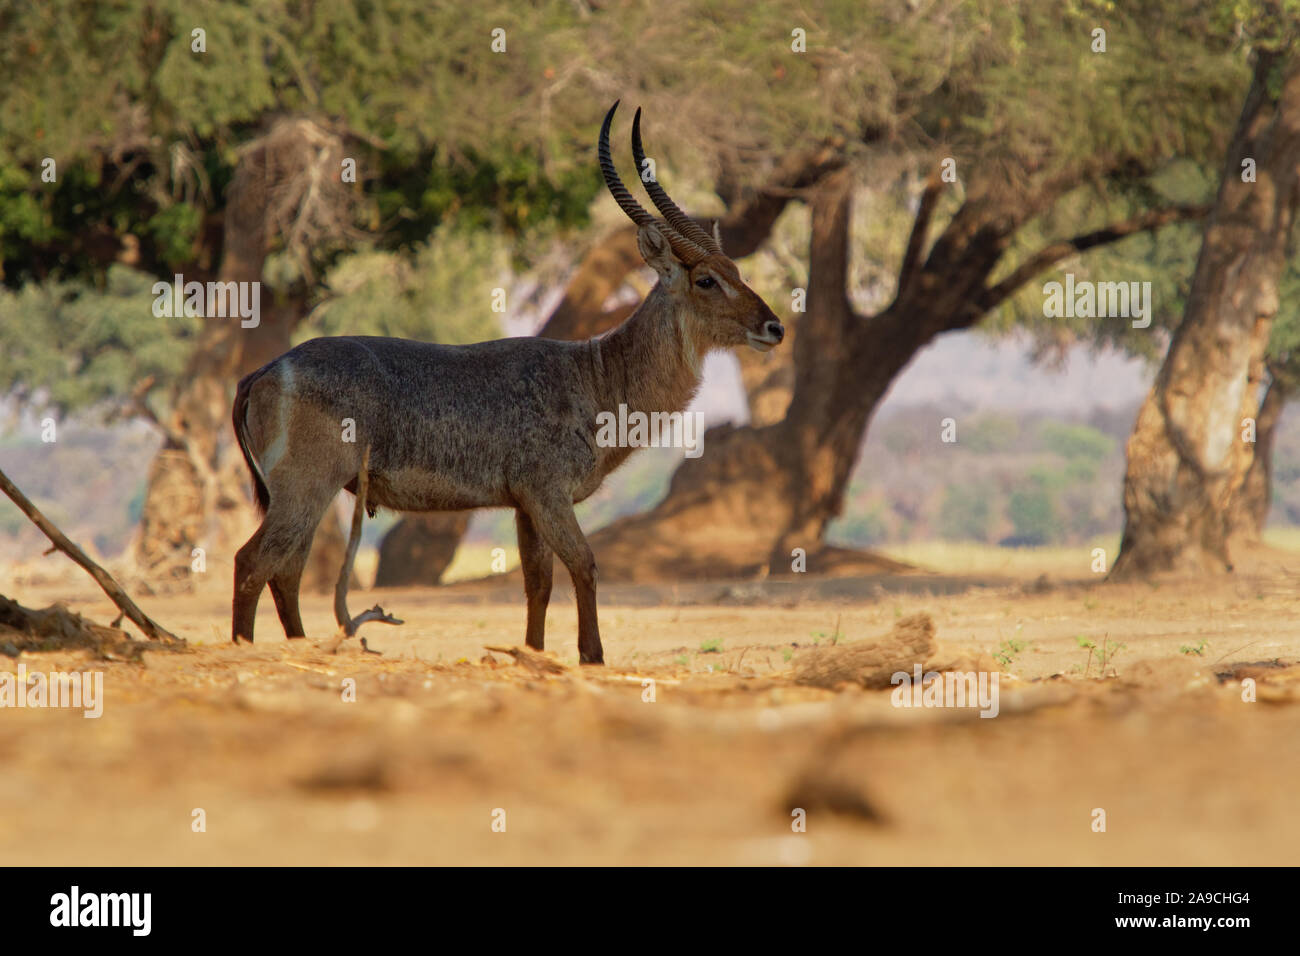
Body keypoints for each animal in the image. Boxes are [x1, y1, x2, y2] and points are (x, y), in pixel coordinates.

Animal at [230, 102, 785, 663]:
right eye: (706, 280)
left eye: (736, 269)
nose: (775, 327)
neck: (598, 374)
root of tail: (263, 371)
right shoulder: (547, 493)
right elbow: (585, 565)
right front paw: (592, 656)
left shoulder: (523, 505)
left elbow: (537, 583)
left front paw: (533, 654)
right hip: (306, 485)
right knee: (252, 562)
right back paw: (246, 648)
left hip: (304, 493)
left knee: (285, 572)